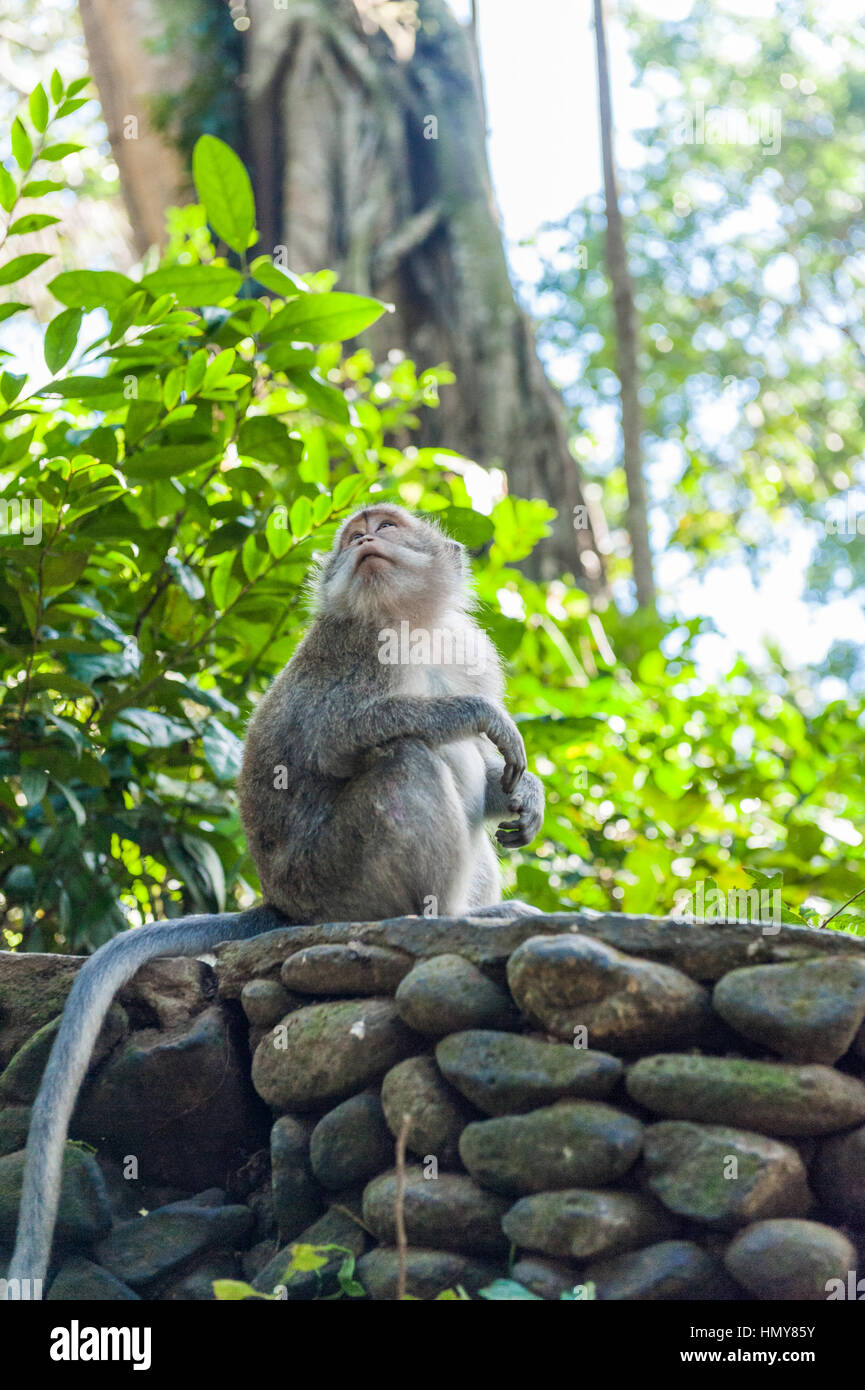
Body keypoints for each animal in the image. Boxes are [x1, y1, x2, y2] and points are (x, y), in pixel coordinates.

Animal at [5, 504, 544, 1295]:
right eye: (354, 534)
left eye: (385, 525)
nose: (364, 540)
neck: (410, 623)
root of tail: (284, 906)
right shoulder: (352, 654)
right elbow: (341, 740)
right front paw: (480, 717)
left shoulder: (467, 649)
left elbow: (490, 777)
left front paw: (525, 794)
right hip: (340, 876)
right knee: (406, 754)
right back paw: (447, 918)